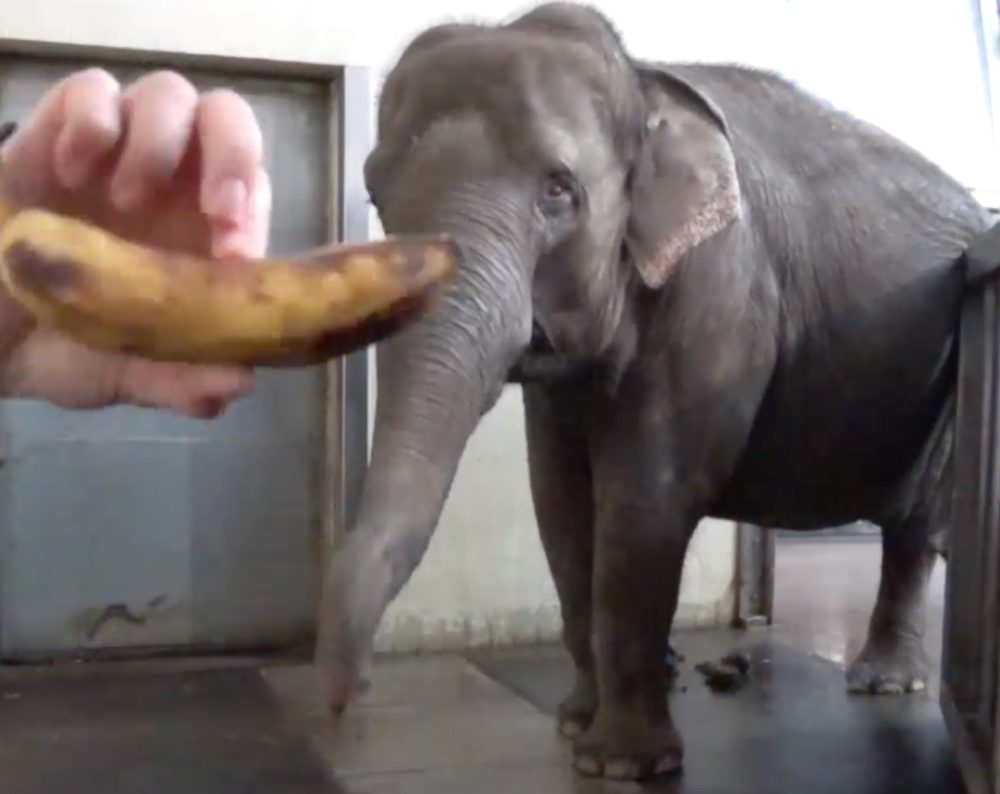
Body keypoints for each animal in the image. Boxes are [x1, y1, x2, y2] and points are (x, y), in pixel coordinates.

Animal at [314, 1, 993, 781]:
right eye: (375, 191)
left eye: (558, 189)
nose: (347, 700)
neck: (644, 86)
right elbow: (560, 500)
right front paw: (574, 726)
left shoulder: (719, 286)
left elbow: (645, 497)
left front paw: (623, 765)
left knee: (915, 522)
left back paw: (883, 684)